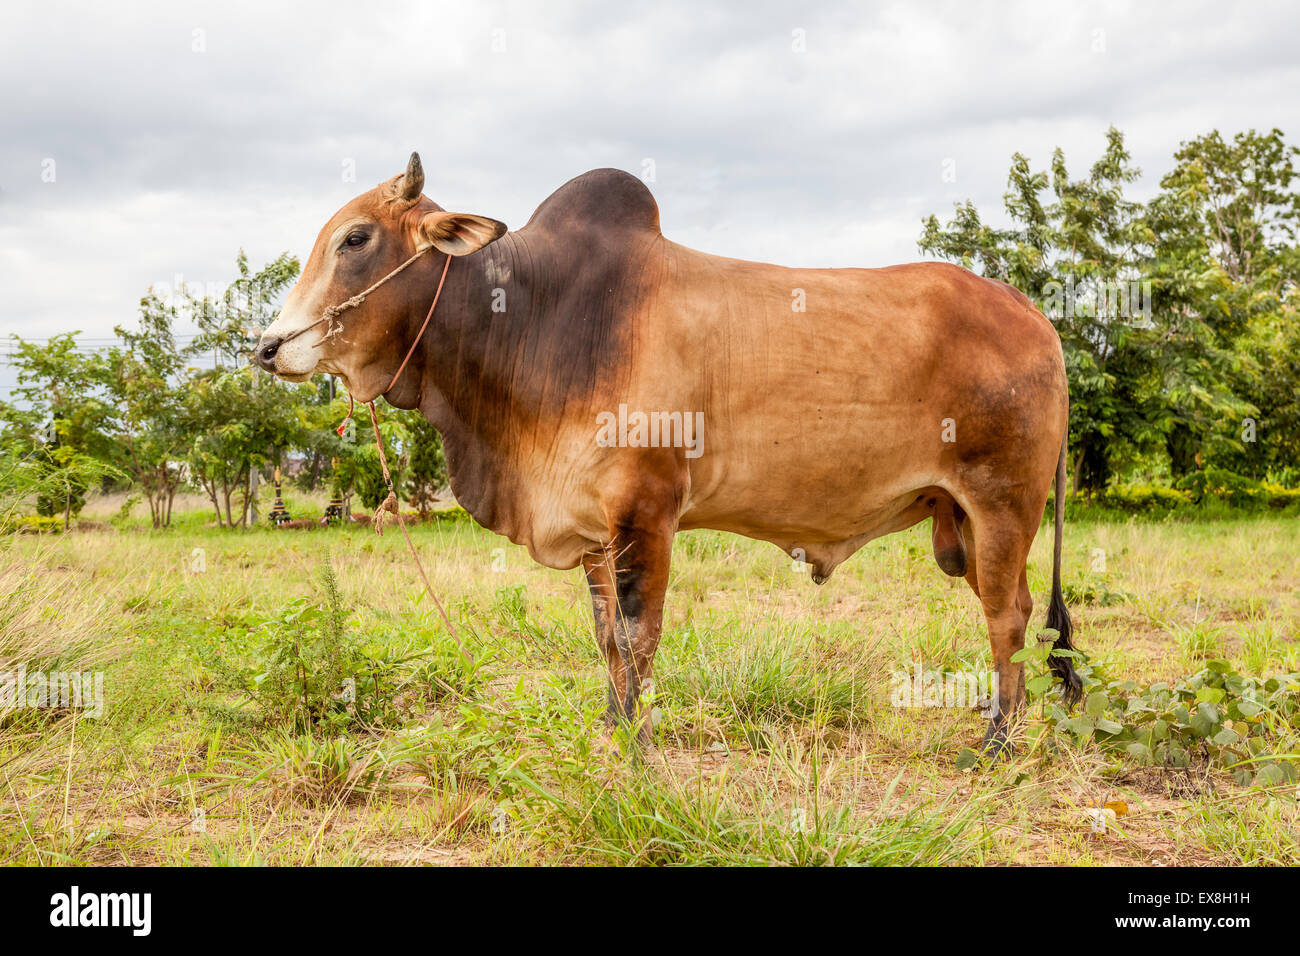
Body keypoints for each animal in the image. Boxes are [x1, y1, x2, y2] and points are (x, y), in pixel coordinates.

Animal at [256, 153, 1082, 752]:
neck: (536, 319)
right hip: (964, 521)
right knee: (1015, 613)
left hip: (1003, 506)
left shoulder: (645, 514)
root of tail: (1031, 311)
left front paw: (638, 744)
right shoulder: (592, 526)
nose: (268, 346)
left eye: (356, 238)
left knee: (1008, 616)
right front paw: (611, 726)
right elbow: (604, 638)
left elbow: (635, 633)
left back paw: (1000, 741)